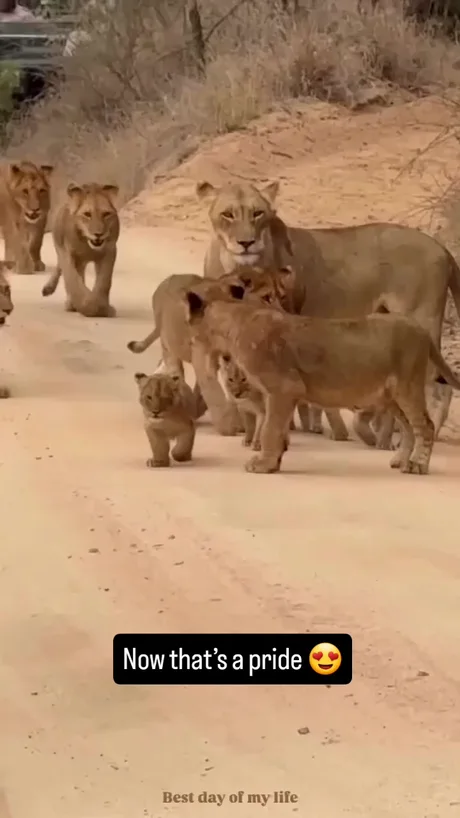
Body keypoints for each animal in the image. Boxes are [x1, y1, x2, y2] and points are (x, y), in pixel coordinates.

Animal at [41, 182, 120, 318]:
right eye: (87, 214)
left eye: (106, 214)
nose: (98, 234)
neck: (88, 245)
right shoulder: (67, 254)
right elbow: (73, 282)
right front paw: (86, 306)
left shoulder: (109, 252)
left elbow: (104, 282)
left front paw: (103, 308)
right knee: (63, 270)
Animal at [127, 266, 291, 436]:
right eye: (267, 297)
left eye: (282, 296)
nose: (283, 315)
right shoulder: (203, 359)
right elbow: (215, 393)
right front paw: (230, 426)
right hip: (169, 348)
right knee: (175, 372)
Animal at [184, 287, 460, 476]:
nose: (190, 344)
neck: (233, 324)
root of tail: (420, 329)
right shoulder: (285, 393)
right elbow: (278, 429)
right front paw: (274, 463)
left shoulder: (283, 388)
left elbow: (270, 429)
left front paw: (262, 464)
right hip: (391, 395)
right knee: (408, 426)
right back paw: (401, 461)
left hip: (407, 386)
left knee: (425, 425)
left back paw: (417, 464)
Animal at [196, 179, 460, 449]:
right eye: (227, 214)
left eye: (258, 213)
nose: (246, 243)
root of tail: (441, 248)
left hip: (420, 322)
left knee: (437, 385)